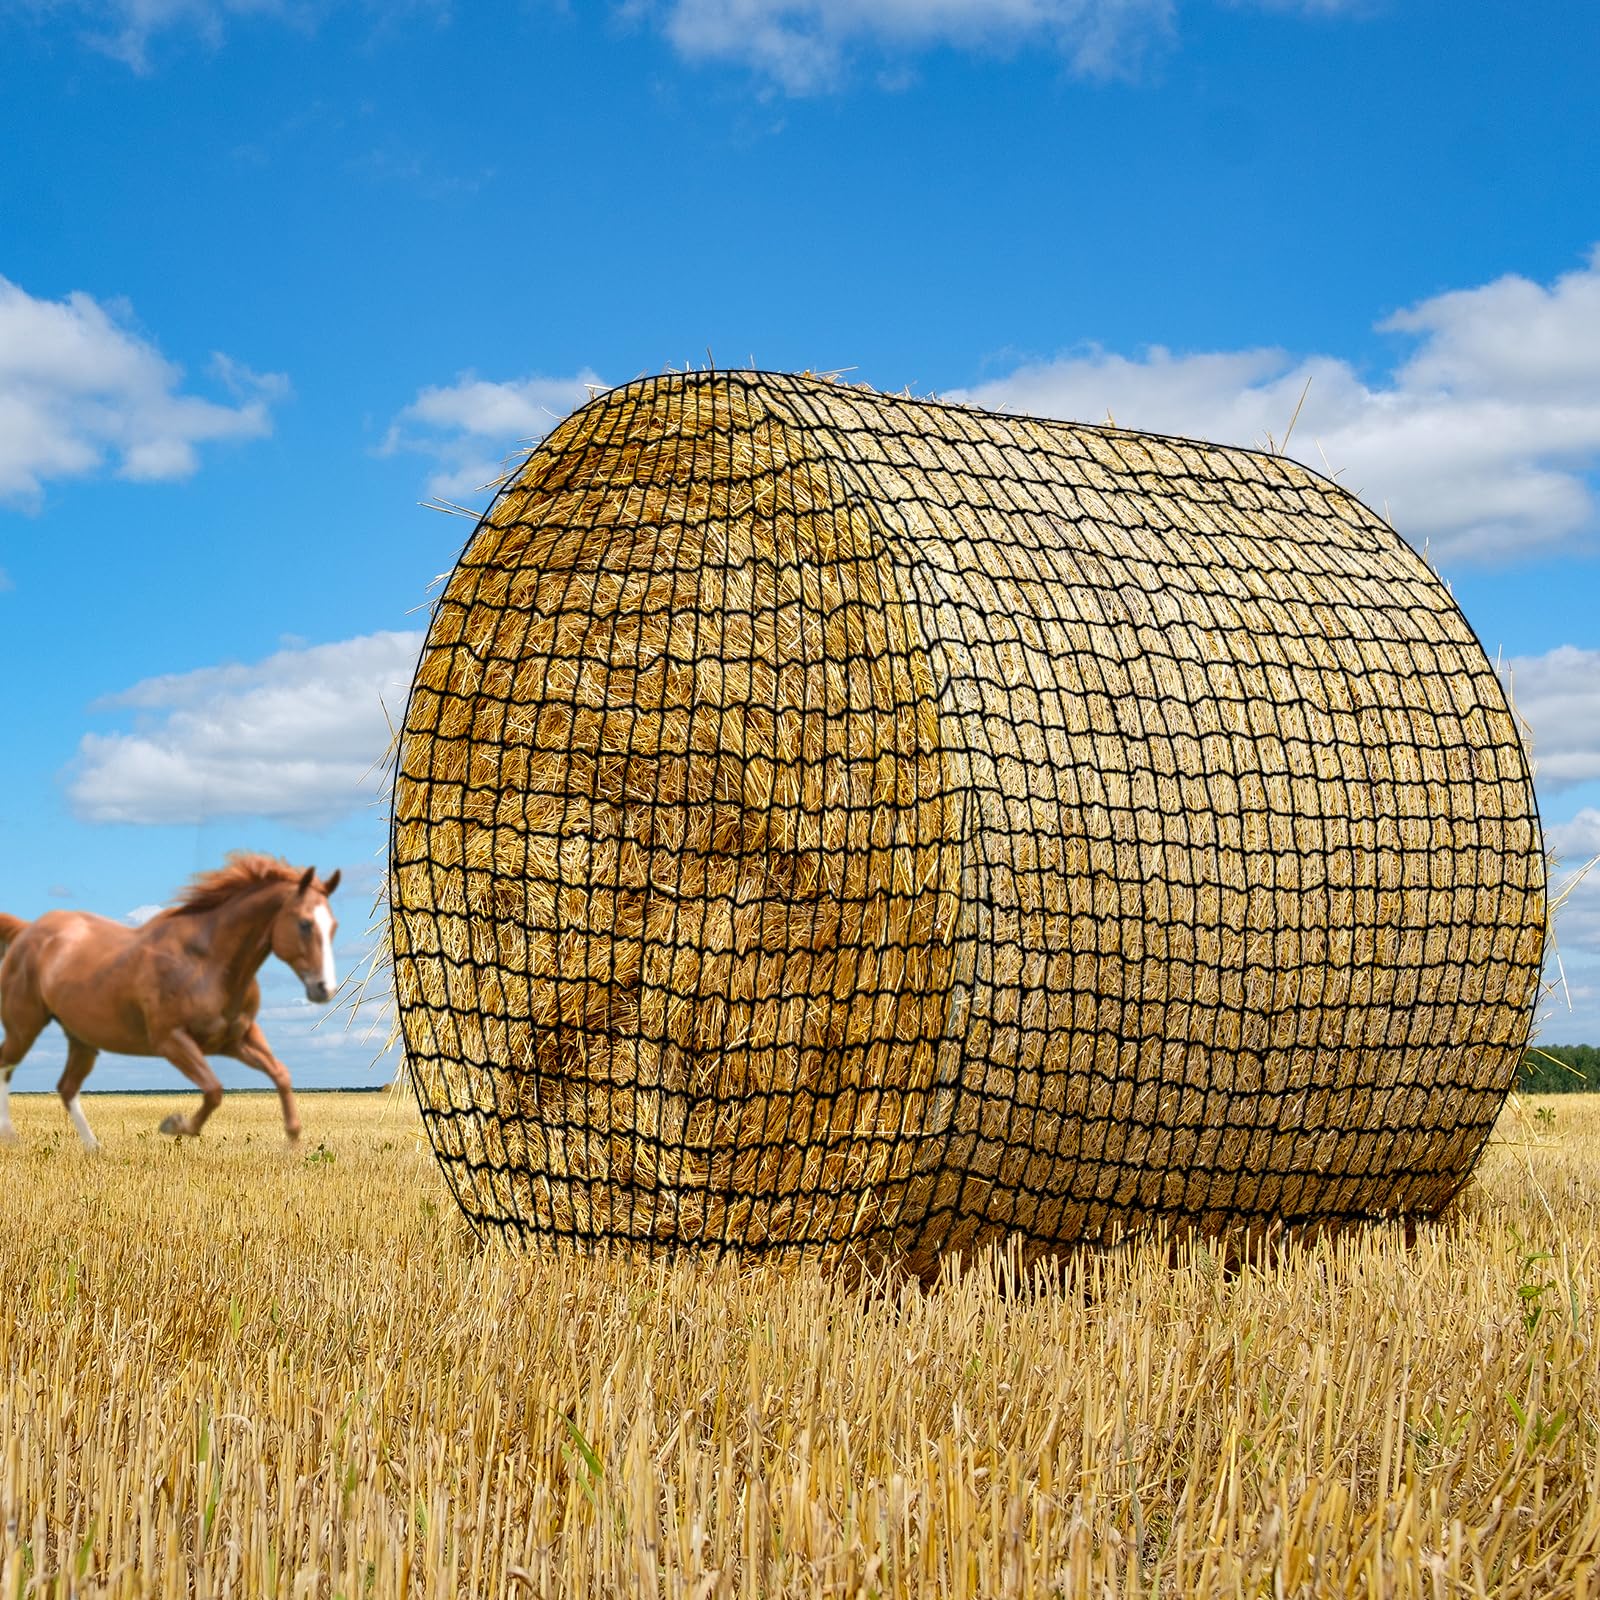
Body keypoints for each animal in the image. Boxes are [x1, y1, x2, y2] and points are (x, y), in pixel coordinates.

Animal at [0, 854, 340, 1151]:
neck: (207, 963)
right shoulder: (171, 1040)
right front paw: (174, 1125)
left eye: (333, 926)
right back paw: (11, 1138)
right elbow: (214, 1090)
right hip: (24, 1027)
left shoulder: (235, 1040)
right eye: (305, 923)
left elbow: (281, 1074)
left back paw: (94, 1148)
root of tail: (27, 930)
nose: (324, 989)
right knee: (6, 1064)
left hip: (82, 1039)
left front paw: (293, 1141)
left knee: (67, 1087)